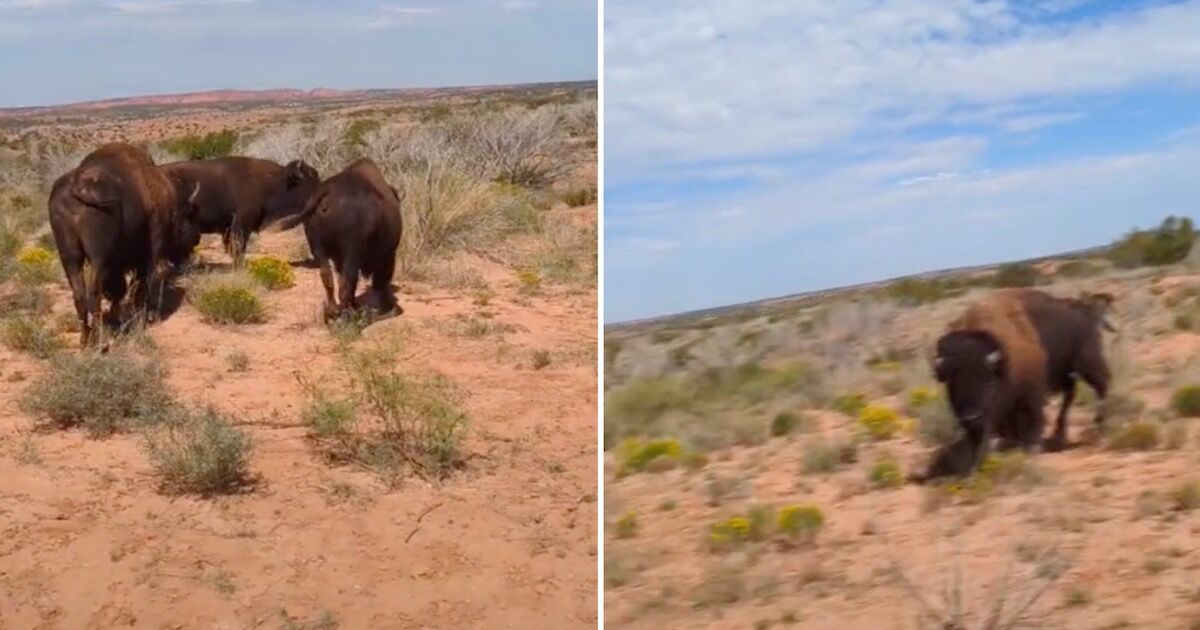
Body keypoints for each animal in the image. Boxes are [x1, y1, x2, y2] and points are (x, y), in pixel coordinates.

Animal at [49, 143, 201, 345]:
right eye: (186, 222)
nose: (195, 241)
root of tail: (78, 185)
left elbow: (118, 288)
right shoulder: (152, 249)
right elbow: (144, 281)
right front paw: (147, 314)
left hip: (70, 257)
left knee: (80, 295)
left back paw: (85, 339)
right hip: (98, 258)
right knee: (94, 293)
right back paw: (102, 341)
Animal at [274, 158, 403, 321]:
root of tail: (328, 189)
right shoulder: (388, 254)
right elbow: (380, 281)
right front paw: (387, 308)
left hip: (319, 250)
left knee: (328, 278)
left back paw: (334, 311)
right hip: (353, 254)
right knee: (346, 284)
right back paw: (349, 314)